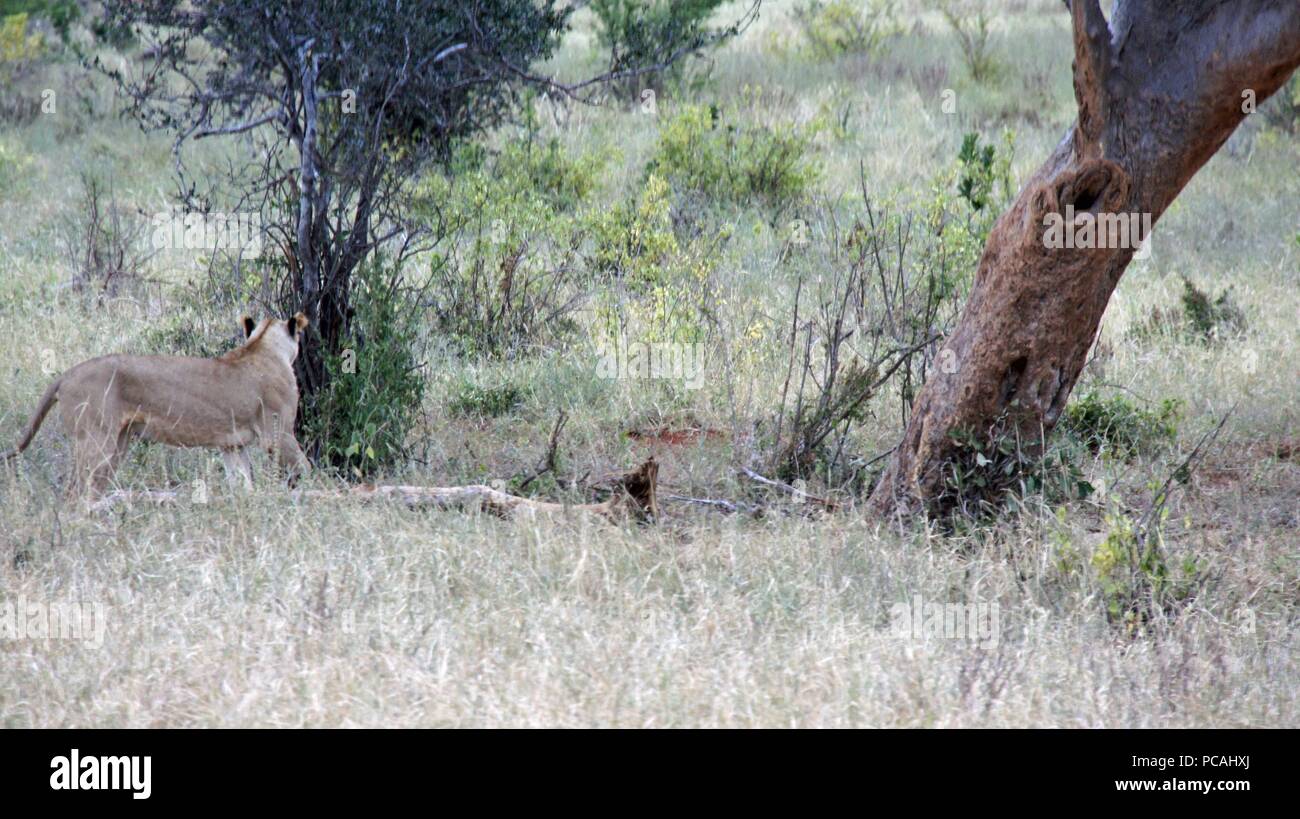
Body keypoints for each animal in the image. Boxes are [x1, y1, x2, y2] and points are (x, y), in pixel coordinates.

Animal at [2, 313, 311, 502]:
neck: (264, 348)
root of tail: (66, 374)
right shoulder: (278, 435)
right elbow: (306, 468)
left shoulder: (231, 446)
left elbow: (243, 483)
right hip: (96, 441)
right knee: (74, 492)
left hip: (117, 444)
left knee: (90, 488)